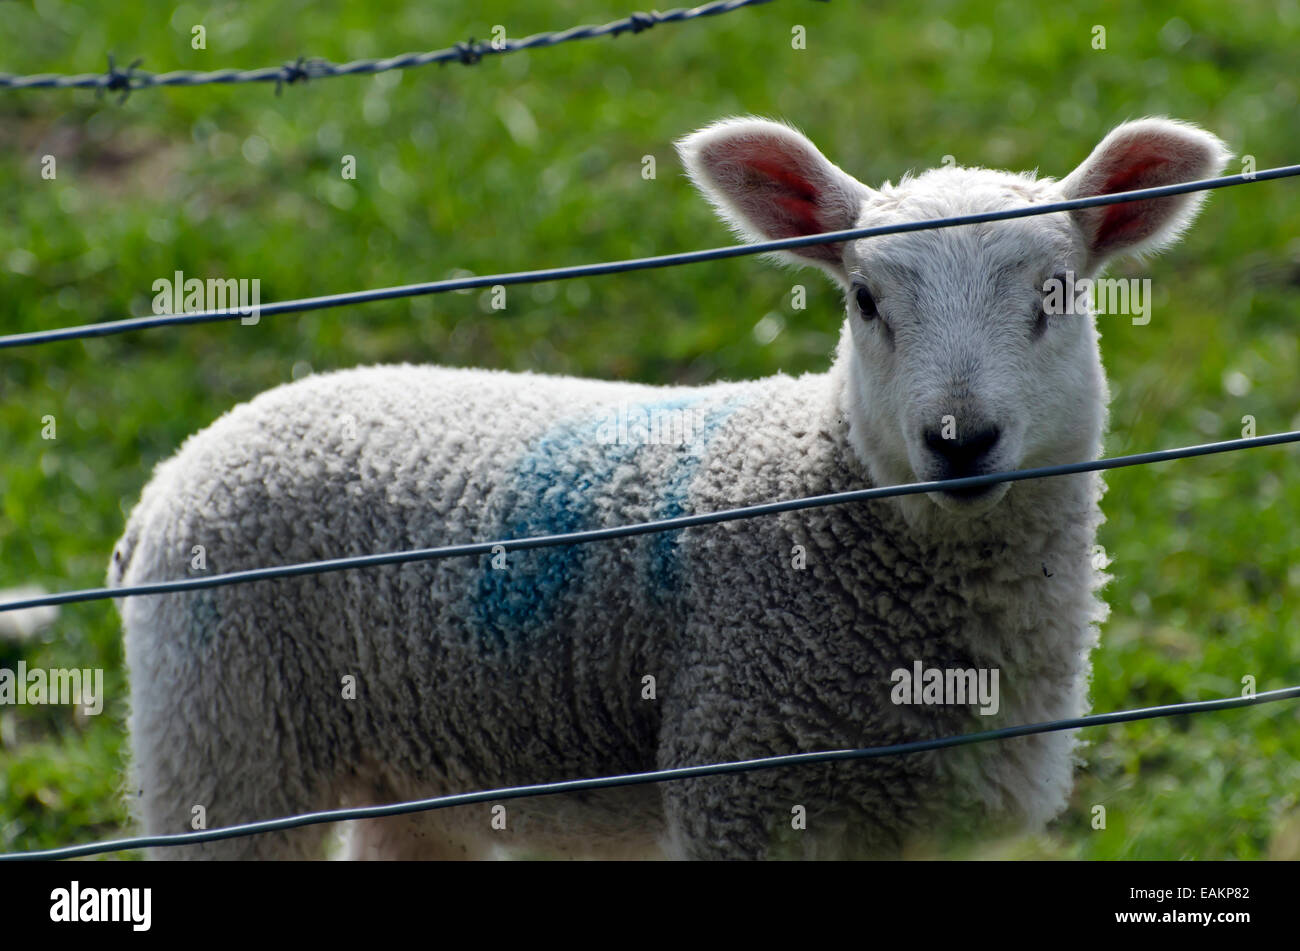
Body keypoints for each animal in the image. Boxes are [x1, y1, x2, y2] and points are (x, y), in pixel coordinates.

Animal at [109, 116, 1229, 860]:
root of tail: (180, 467)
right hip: (224, 739)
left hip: (406, 775)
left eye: (1057, 293)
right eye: (864, 301)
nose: (960, 439)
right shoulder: (738, 784)